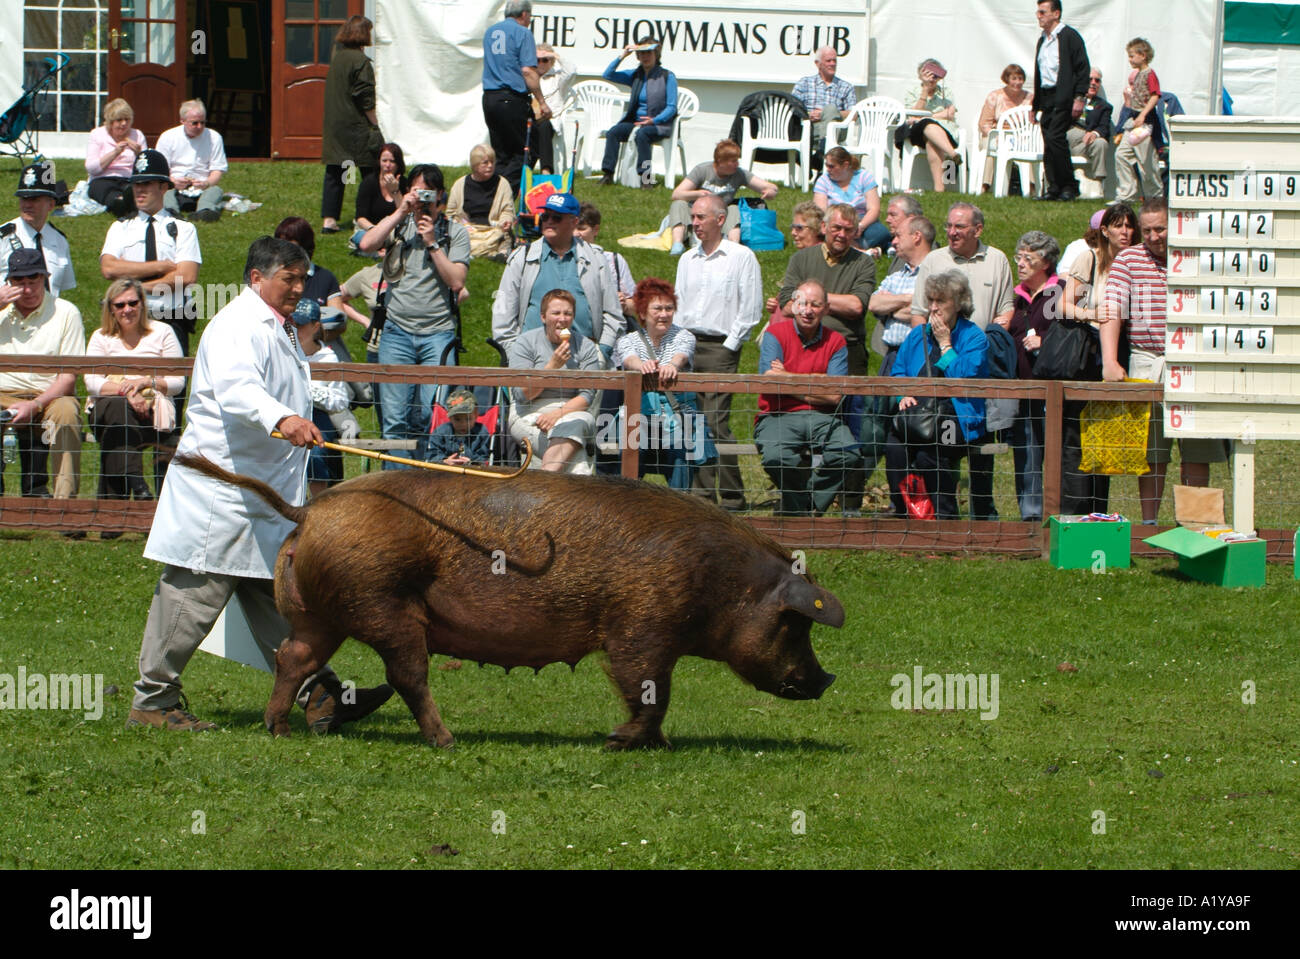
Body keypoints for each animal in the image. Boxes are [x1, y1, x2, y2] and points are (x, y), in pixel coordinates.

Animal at [173, 453, 842, 749]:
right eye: (796, 626)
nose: (826, 680)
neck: (721, 583)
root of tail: (308, 511)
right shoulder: (640, 627)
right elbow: (648, 687)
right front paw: (621, 741)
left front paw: (655, 745)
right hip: (382, 604)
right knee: (407, 674)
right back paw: (446, 741)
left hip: (322, 611)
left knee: (293, 657)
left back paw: (280, 730)